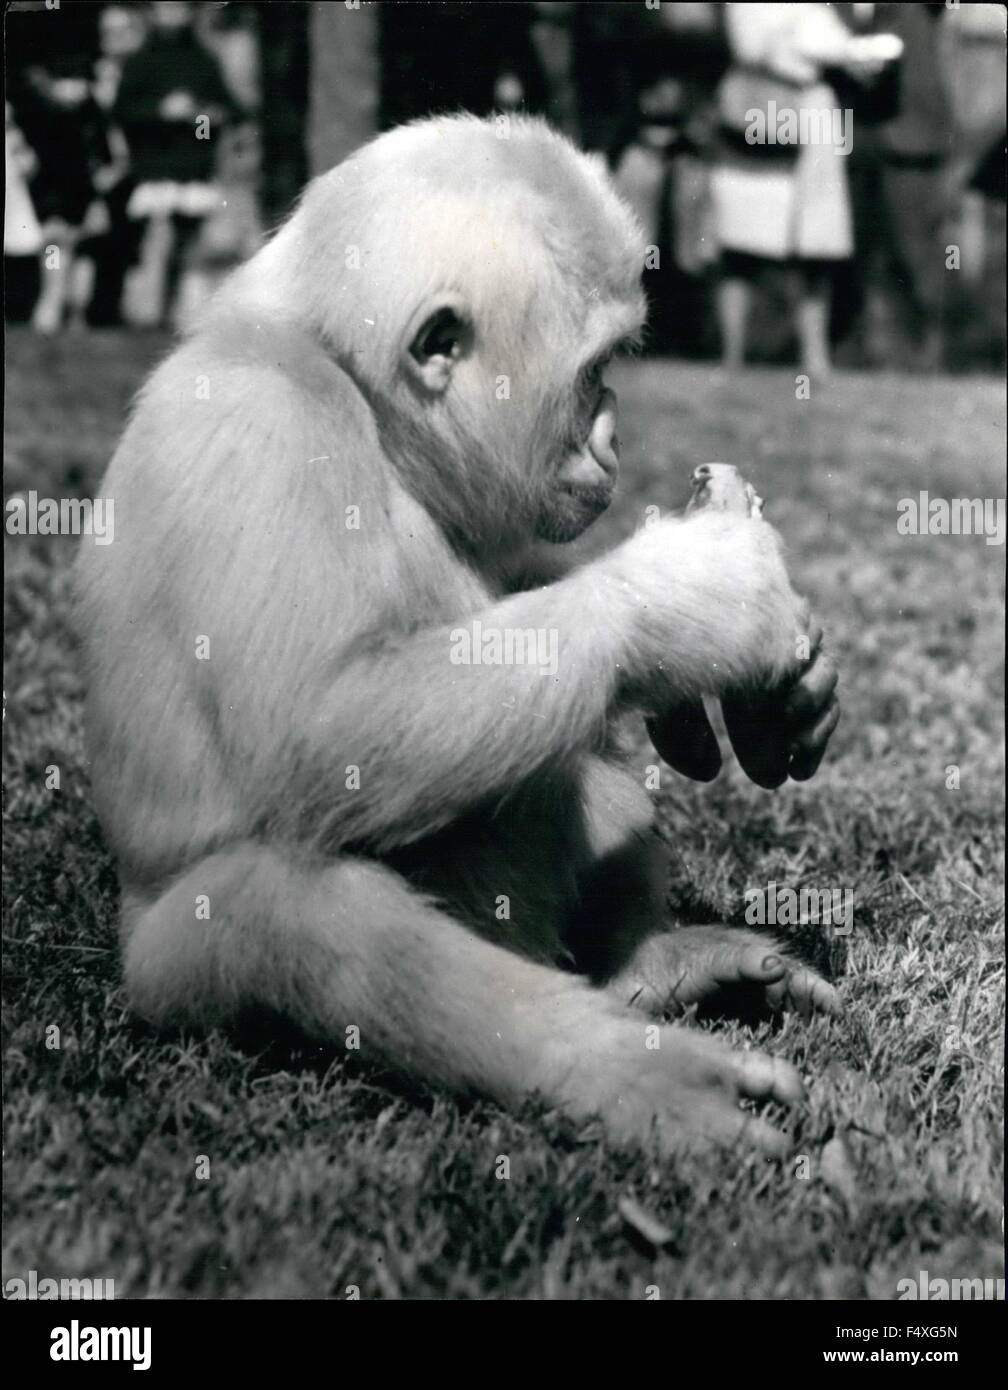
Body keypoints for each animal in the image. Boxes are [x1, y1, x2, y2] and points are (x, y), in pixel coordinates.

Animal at [76, 114, 841, 1157]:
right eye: (595, 375)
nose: (614, 433)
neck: (365, 402)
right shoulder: (257, 426)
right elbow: (318, 728)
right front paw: (690, 600)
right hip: (169, 967)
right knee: (299, 918)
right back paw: (620, 1069)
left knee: (576, 757)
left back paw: (646, 968)